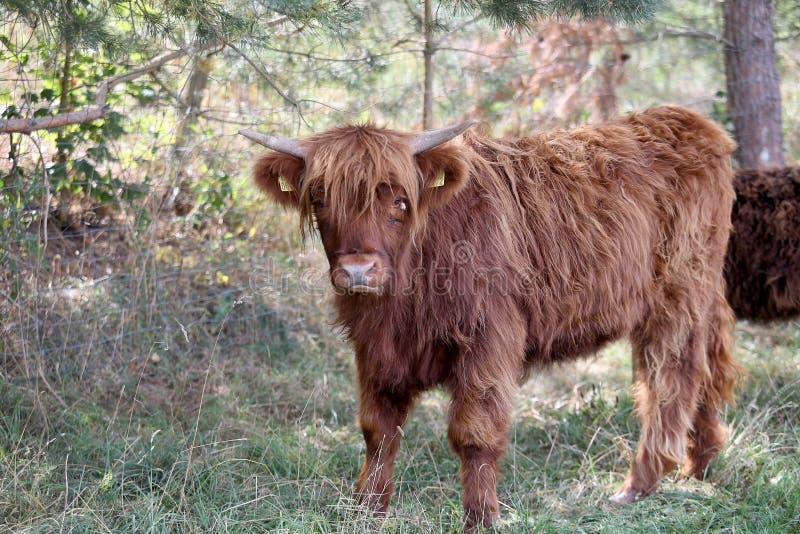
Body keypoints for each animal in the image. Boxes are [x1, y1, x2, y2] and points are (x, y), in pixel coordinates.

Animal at [241, 105, 742, 528]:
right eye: (321, 200)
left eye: (400, 201)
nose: (358, 271)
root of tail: (695, 125)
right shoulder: (376, 351)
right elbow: (378, 432)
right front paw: (368, 512)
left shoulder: (487, 341)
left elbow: (474, 435)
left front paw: (480, 519)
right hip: (699, 298)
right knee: (707, 368)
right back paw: (701, 463)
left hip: (677, 298)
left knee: (671, 380)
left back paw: (639, 484)